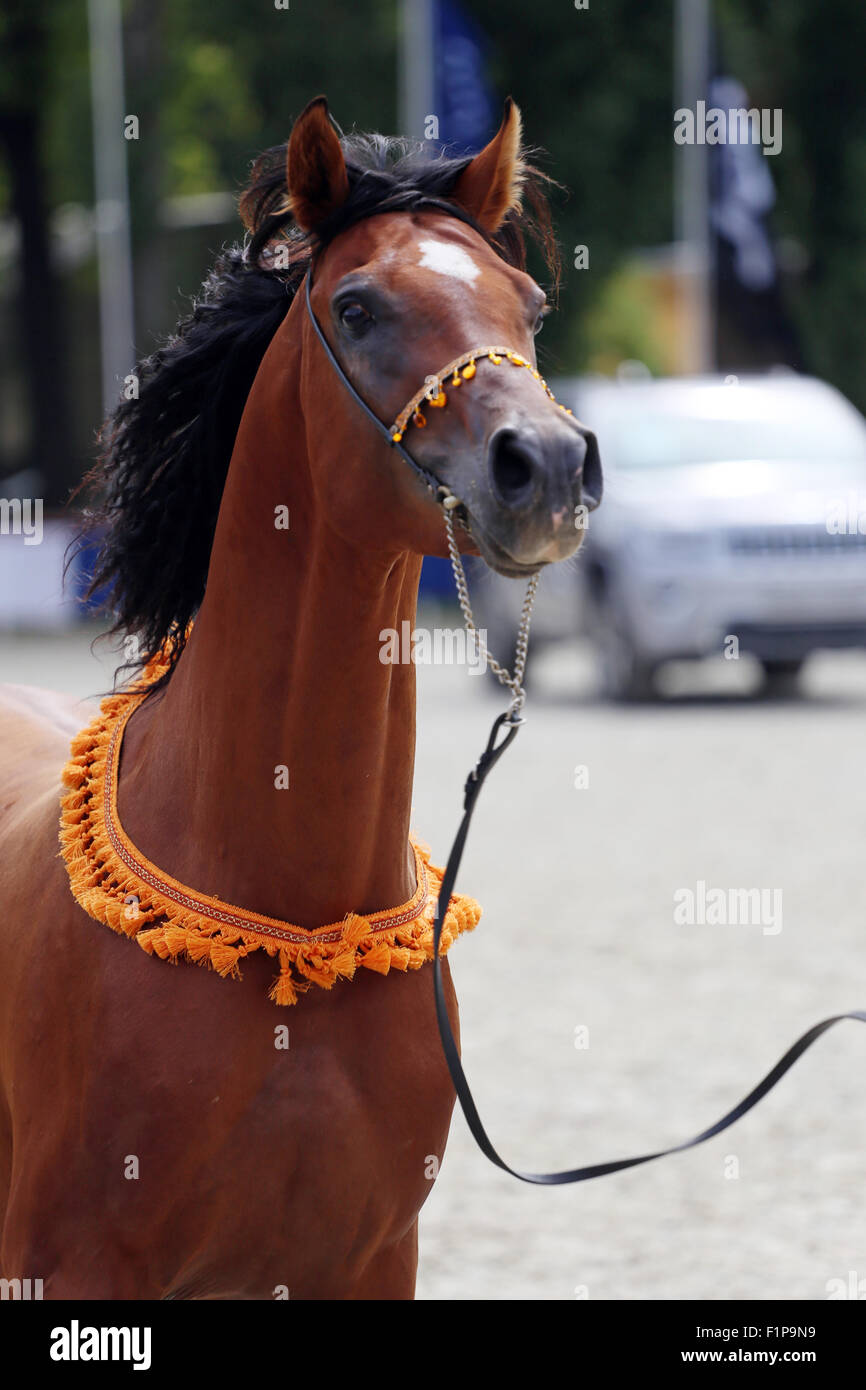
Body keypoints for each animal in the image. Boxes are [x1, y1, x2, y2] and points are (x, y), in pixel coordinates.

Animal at [0, 96, 600, 1300]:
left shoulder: (365, 1263)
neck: (293, 937)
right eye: (356, 307)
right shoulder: (70, 1268)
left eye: (529, 304)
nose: (550, 466)